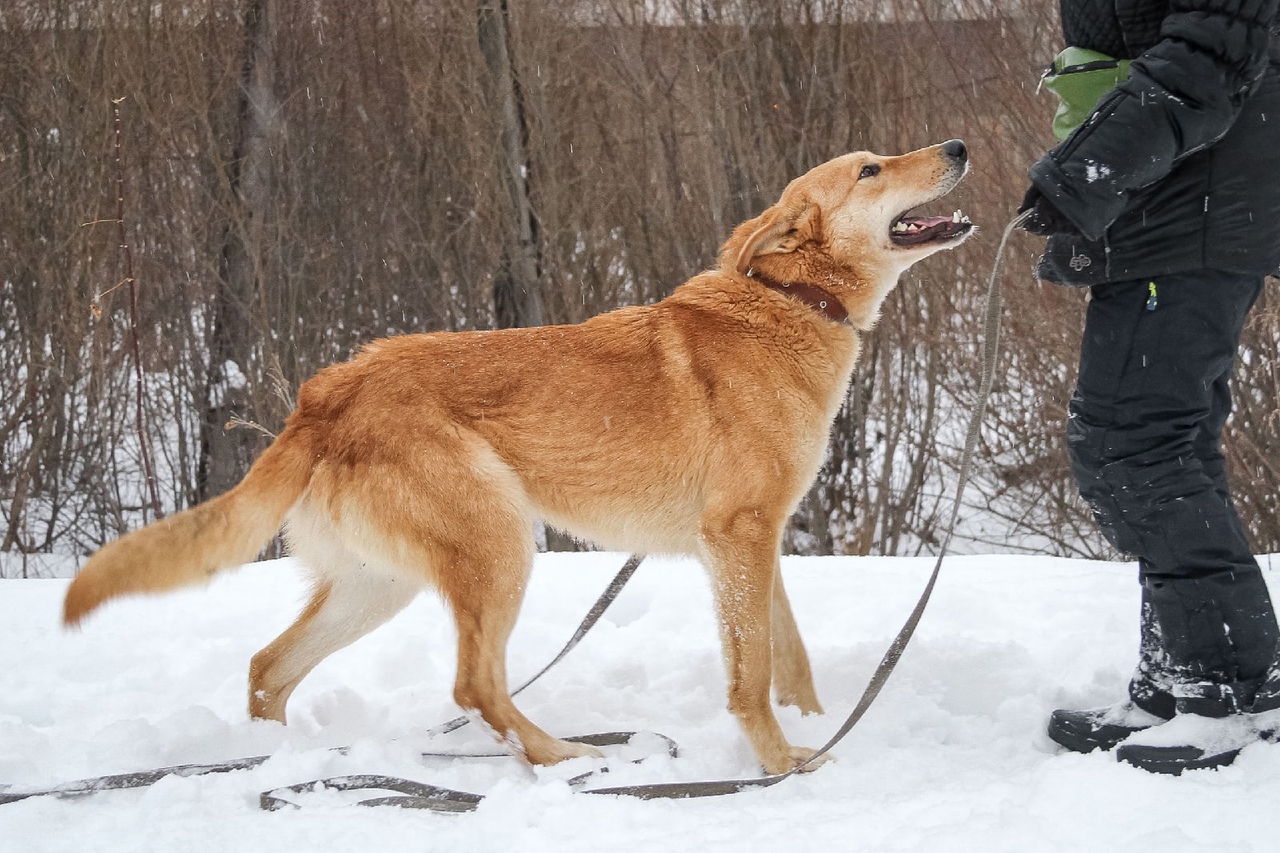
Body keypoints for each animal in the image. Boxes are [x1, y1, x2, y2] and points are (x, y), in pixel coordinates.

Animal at [62, 137, 967, 768]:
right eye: (872, 168)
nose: (958, 146)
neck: (793, 304)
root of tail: (326, 392)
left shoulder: (757, 542)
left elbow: (791, 658)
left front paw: (817, 732)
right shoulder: (738, 537)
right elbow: (751, 678)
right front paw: (781, 765)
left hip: (379, 583)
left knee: (268, 667)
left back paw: (280, 762)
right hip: (498, 544)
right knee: (474, 683)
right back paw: (564, 757)